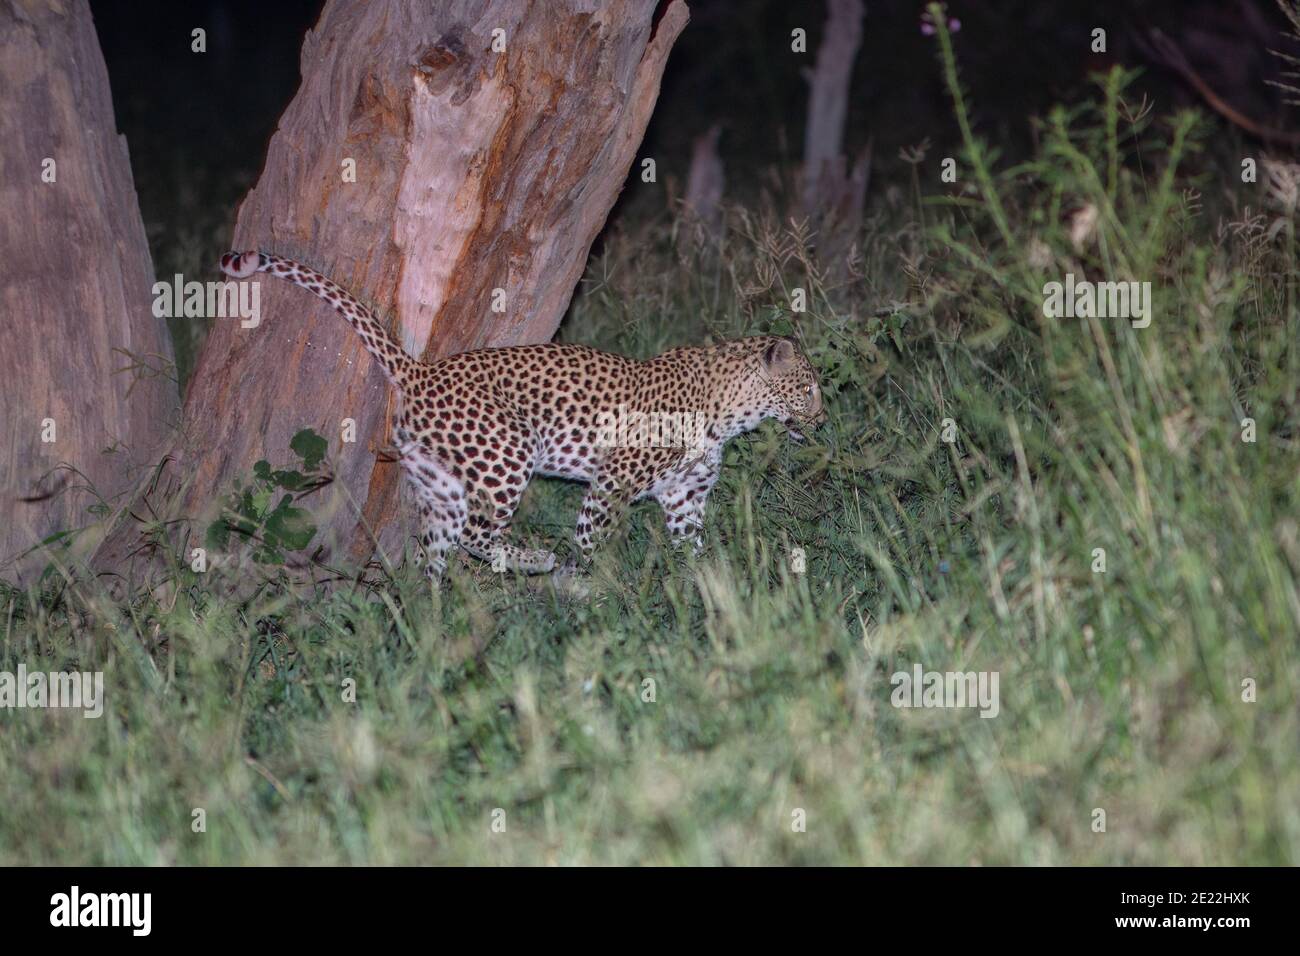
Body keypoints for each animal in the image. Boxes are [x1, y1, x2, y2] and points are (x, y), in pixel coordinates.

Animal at [219, 250, 827, 579]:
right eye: (809, 389)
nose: (823, 422)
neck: (727, 412)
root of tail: (421, 371)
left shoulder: (684, 498)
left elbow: (693, 548)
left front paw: (710, 591)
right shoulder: (613, 482)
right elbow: (595, 539)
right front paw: (605, 589)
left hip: (440, 484)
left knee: (436, 551)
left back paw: (429, 626)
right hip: (507, 453)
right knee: (477, 535)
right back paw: (534, 560)